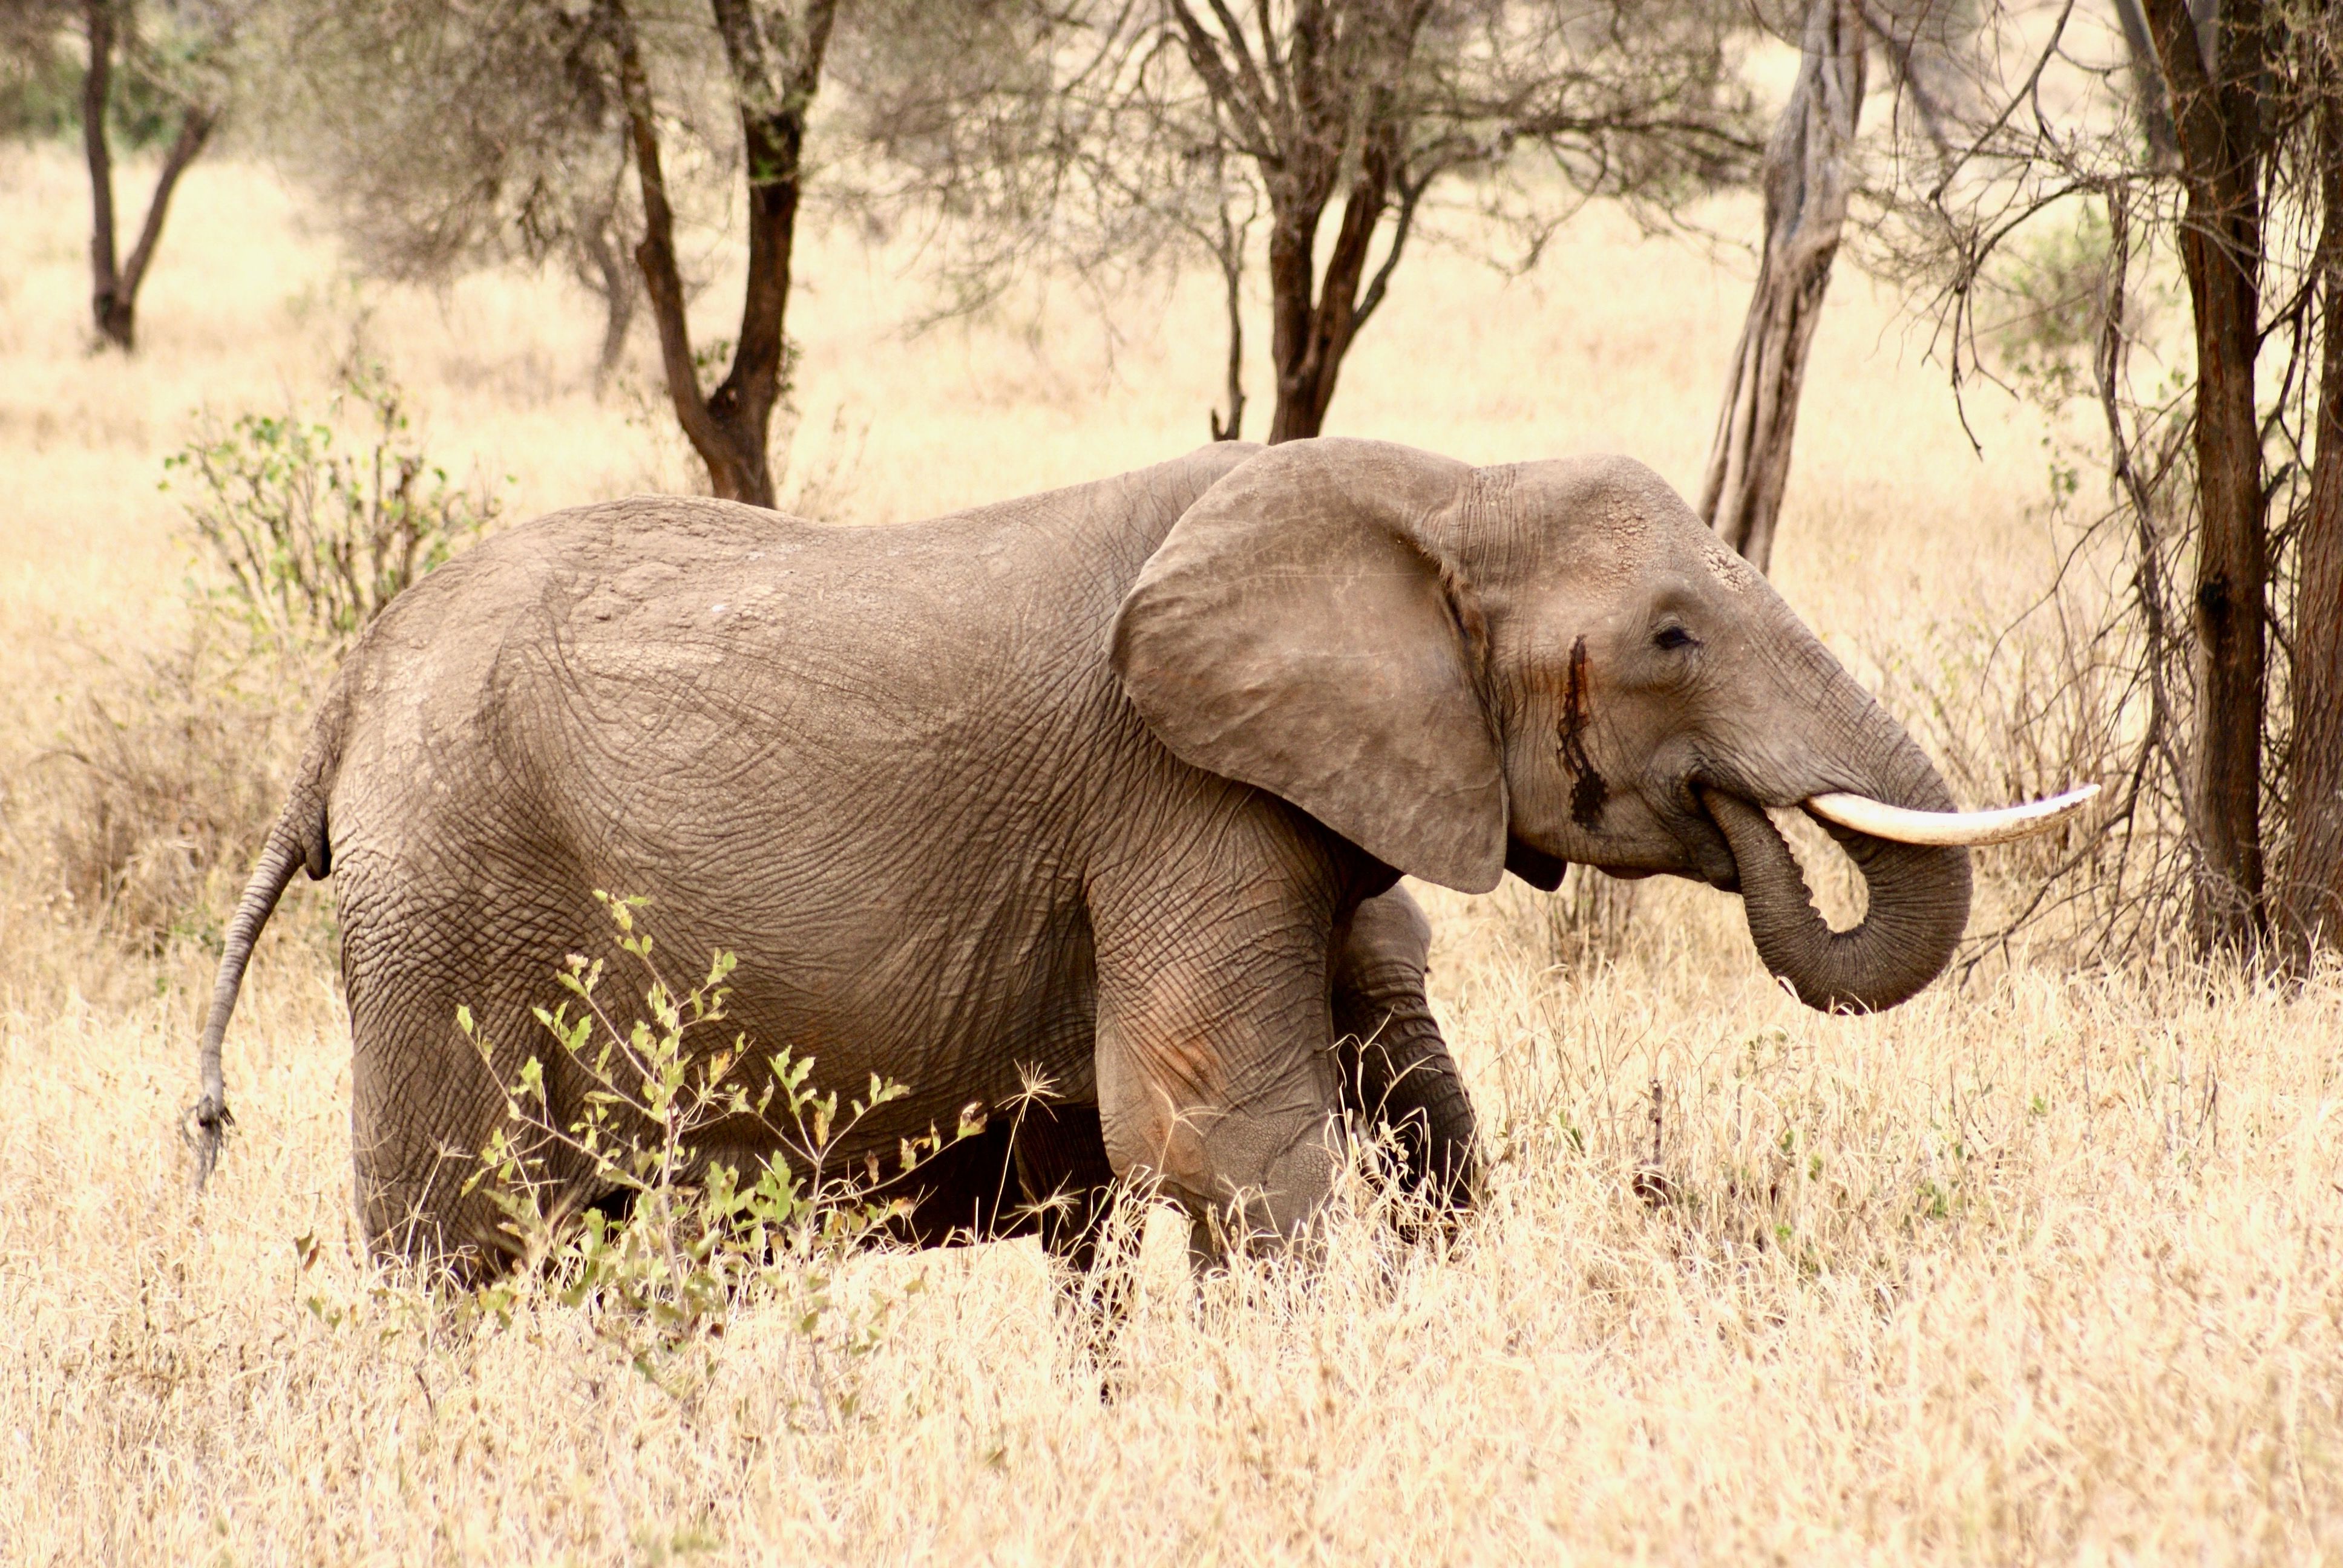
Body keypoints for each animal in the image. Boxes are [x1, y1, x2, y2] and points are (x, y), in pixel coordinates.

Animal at [189, 436, 2082, 1276]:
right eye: (1676, 636)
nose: (1755, 820)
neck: (1436, 488)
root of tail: (343, 691)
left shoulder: (1310, 795)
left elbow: (1415, 1098)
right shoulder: (1175, 795)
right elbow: (1222, 1138)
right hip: (452, 892)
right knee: (464, 1230)